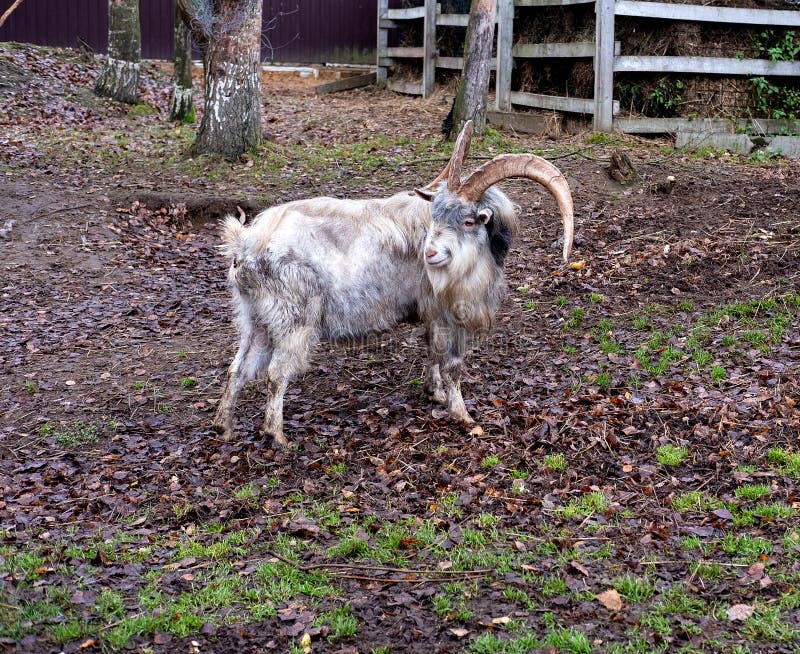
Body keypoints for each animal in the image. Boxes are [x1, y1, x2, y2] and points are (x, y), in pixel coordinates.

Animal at [213, 121, 574, 447]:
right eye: (437, 216)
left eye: (469, 220)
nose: (430, 253)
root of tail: (246, 244)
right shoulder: (446, 312)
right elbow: (452, 364)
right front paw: (463, 416)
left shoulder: (431, 314)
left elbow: (432, 351)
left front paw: (434, 392)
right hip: (293, 320)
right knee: (276, 373)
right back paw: (277, 436)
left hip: (256, 319)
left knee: (238, 368)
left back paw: (224, 427)